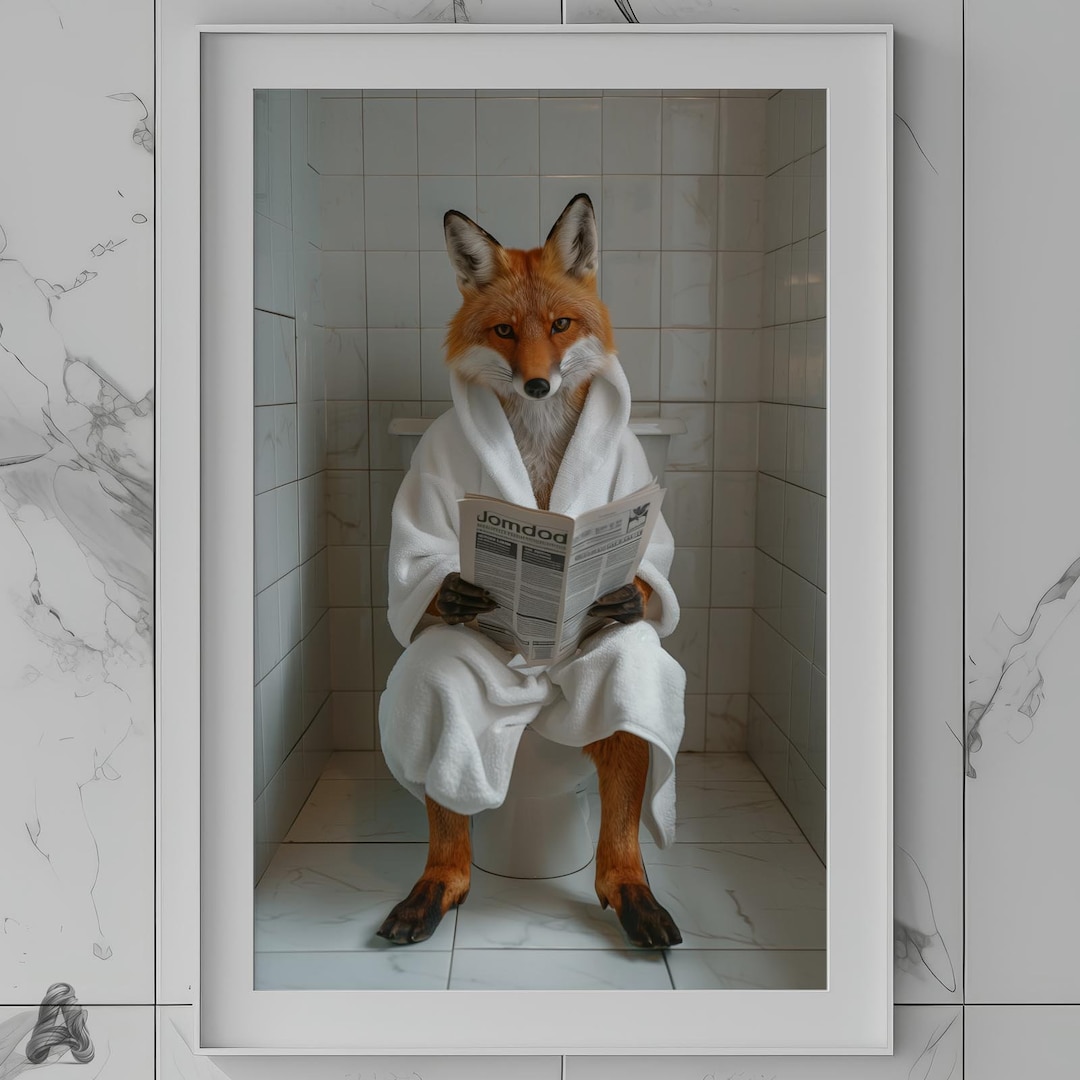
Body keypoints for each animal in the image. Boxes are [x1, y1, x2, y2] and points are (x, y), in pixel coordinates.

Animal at [376, 194, 682, 950]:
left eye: (561, 325)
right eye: (506, 331)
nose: (539, 382)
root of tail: (540, 687)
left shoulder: (634, 474)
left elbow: (655, 565)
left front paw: (626, 593)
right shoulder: (430, 479)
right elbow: (418, 562)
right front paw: (455, 590)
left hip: (608, 677)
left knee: (629, 696)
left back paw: (631, 892)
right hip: (462, 692)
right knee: (443, 736)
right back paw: (438, 886)